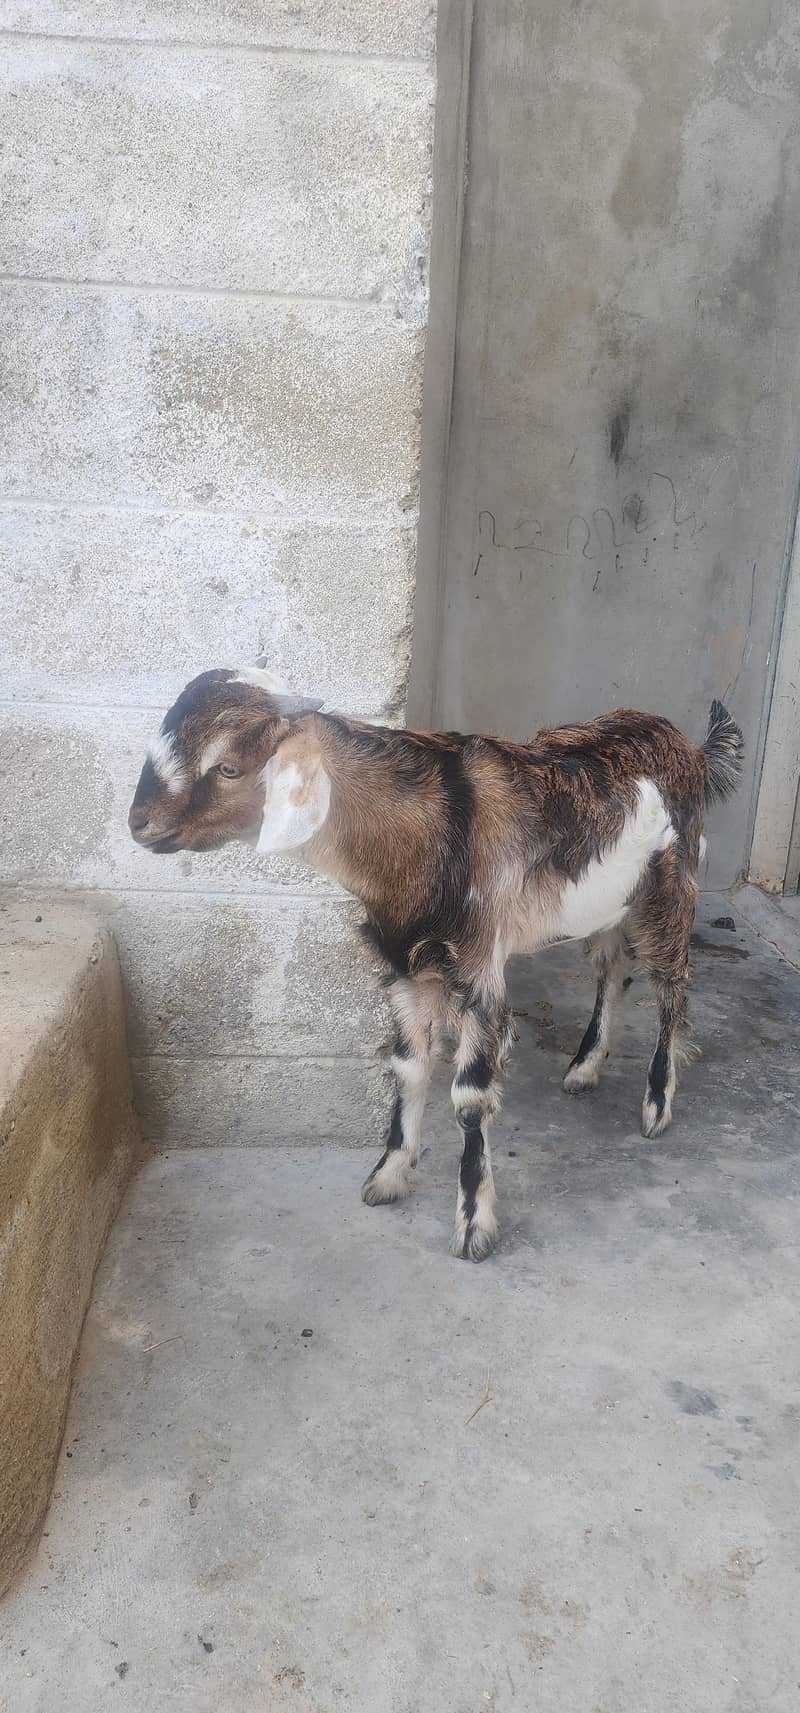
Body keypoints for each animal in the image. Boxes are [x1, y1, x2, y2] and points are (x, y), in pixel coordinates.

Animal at [129, 665, 743, 1261]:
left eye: (229, 767)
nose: (139, 824)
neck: (419, 835)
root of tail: (689, 747)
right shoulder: (406, 966)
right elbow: (407, 1069)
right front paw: (388, 1176)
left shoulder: (479, 968)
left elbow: (470, 1096)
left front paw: (474, 1226)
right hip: (610, 900)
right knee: (612, 969)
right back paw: (585, 1068)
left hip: (671, 888)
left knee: (670, 985)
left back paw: (656, 1105)